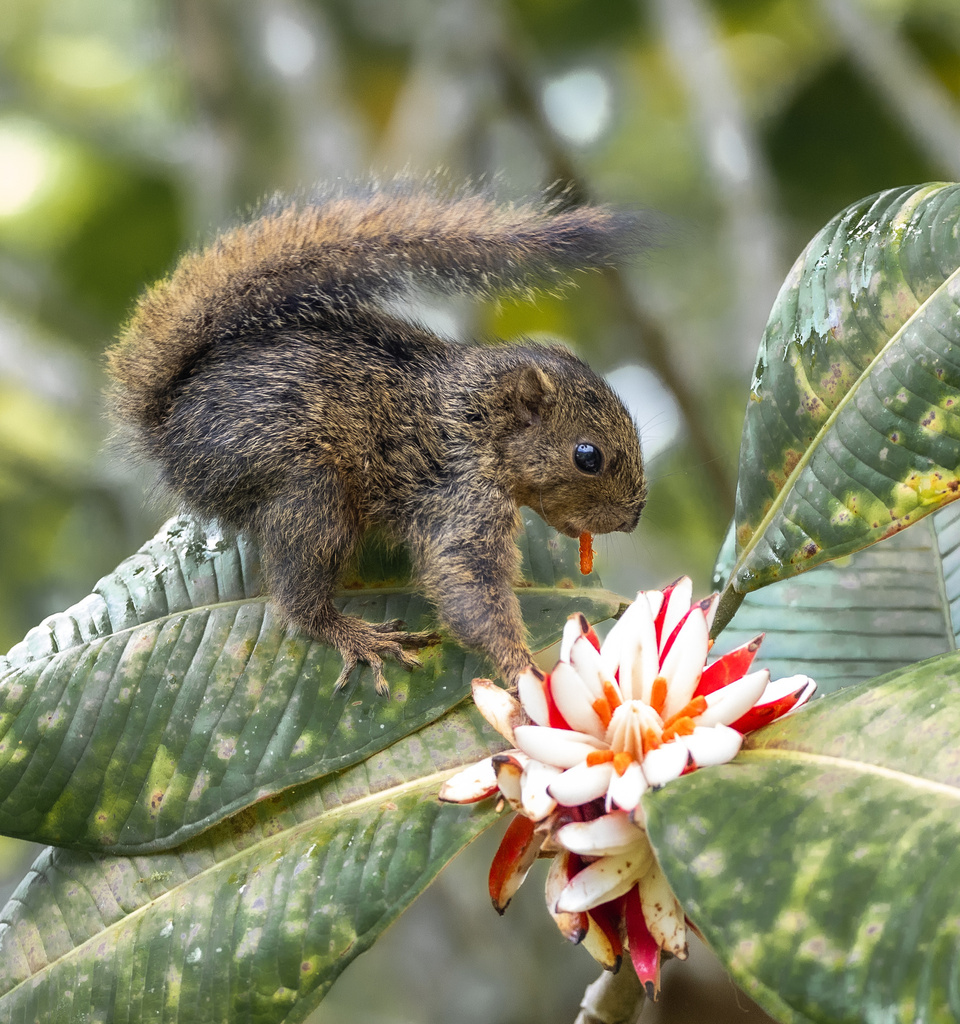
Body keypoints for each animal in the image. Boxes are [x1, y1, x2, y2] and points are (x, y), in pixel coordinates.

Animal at [107, 180, 647, 695]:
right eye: (587, 456)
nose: (632, 519)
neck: (477, 421)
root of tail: (170, 421)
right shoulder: (462, 498)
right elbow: (467, 590)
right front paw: (523, 675)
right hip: (308, 491)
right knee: (296, 600)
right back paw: (355, 635)